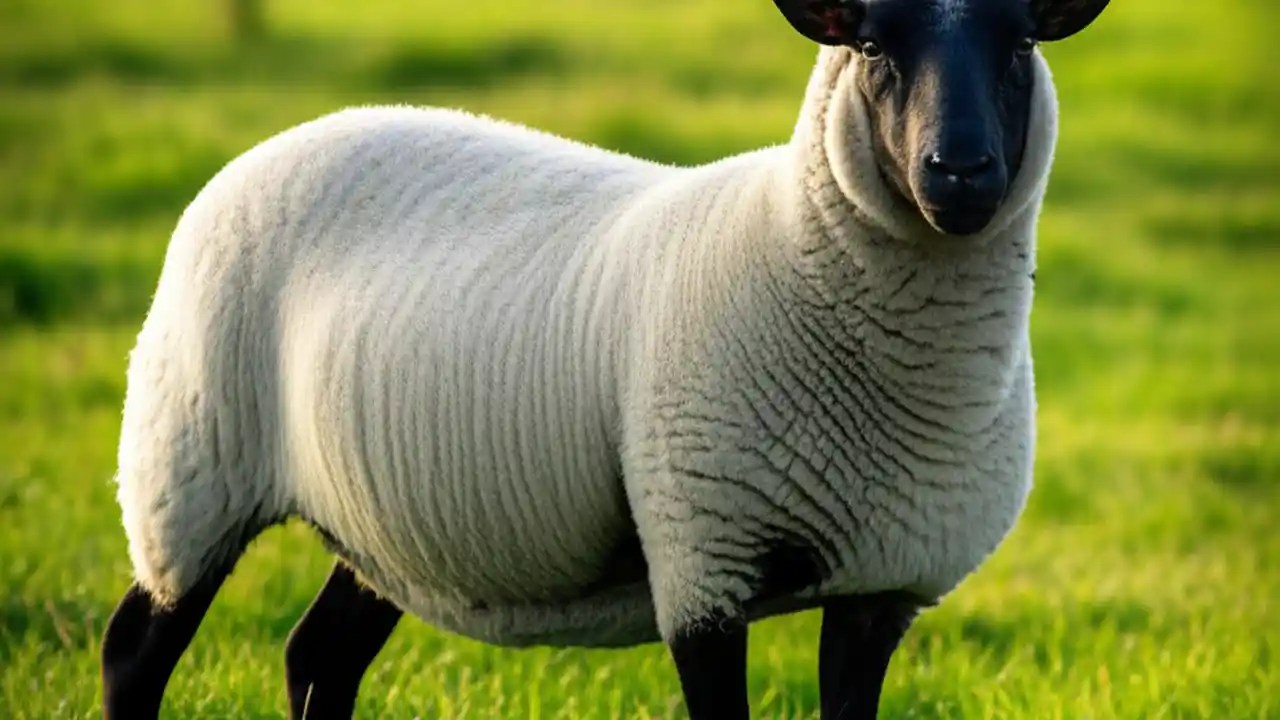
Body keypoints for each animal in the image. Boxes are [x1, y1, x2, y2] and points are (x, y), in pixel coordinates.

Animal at [100, 0, 1112, 718]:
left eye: (1020, 43)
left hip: (380, 514)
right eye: (870, 45)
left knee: (318, 656)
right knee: (132, 648)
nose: (961, 172)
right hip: (190, 468)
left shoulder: (882, 587)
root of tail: (282, 140)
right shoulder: (703, 561)